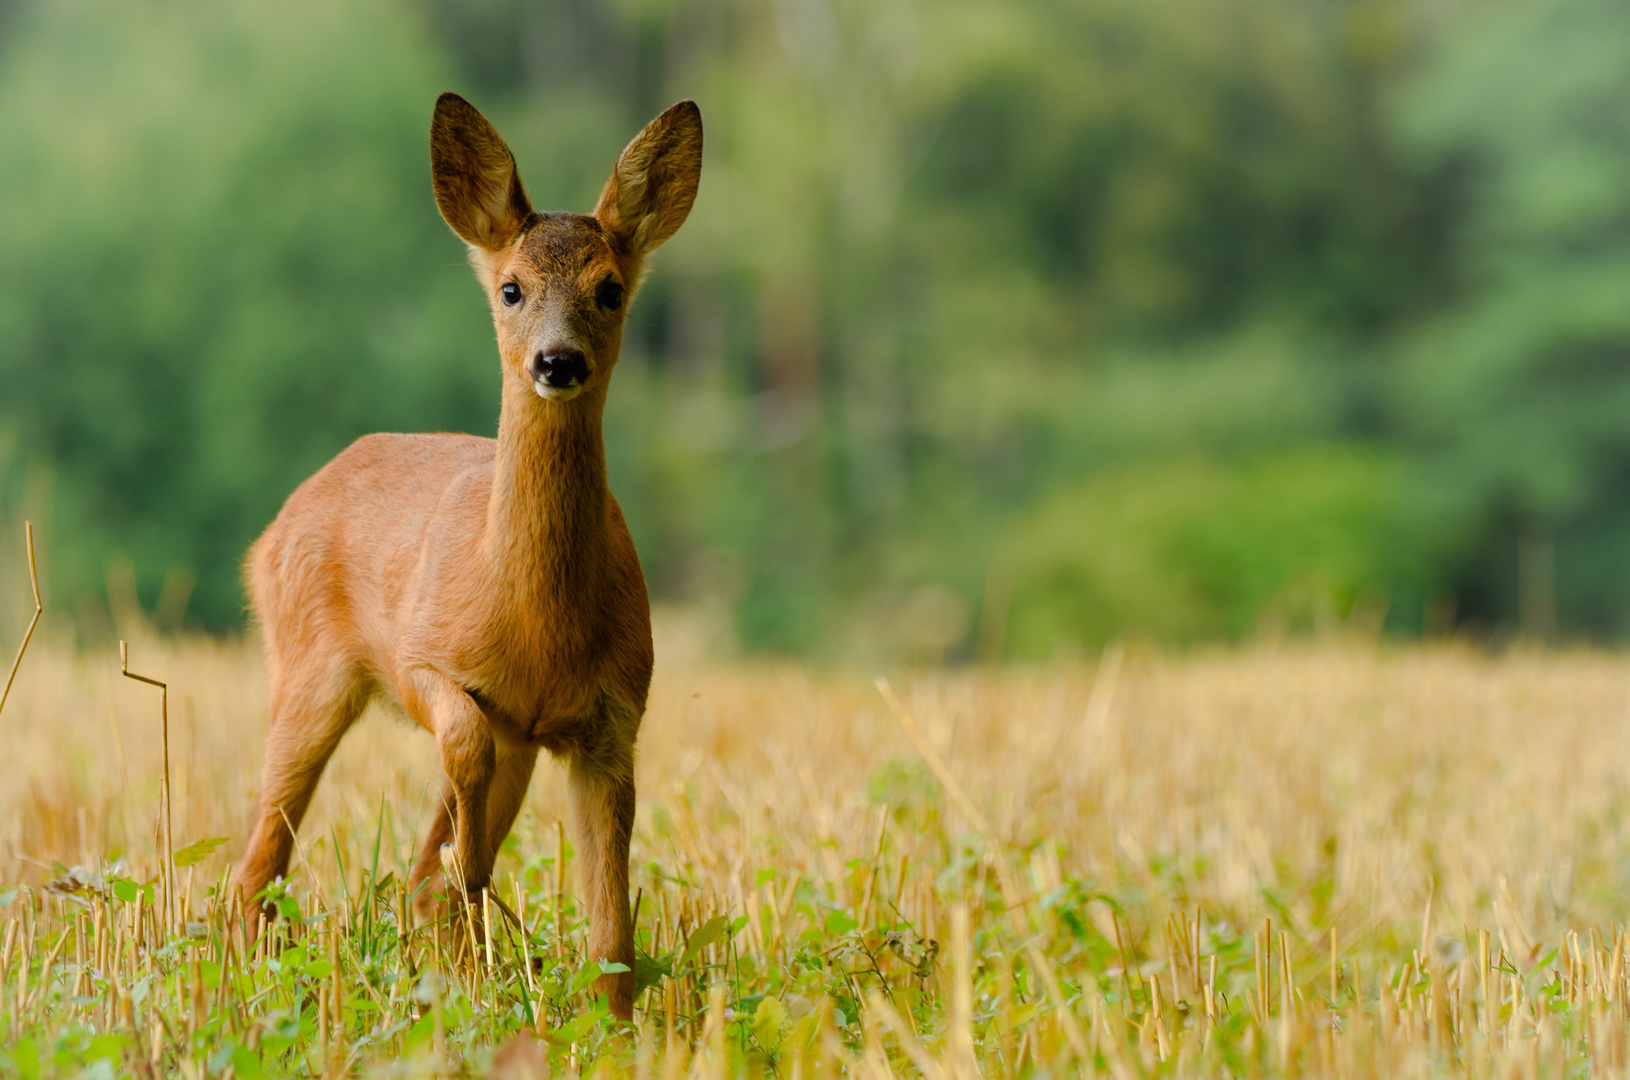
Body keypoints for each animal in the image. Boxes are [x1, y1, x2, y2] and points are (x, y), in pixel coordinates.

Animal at [232, 92, 701, 1019]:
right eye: (511, 288)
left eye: (610, 289)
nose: (557, 361)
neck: (537, 624)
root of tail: (272, 532)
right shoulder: (423, 654)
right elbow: (460, 739)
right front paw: (476, 869)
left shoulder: (613, 719)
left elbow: (613, 927)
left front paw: (617, 1027)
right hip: (309, 664)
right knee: (256, 862)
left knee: (407, 875)